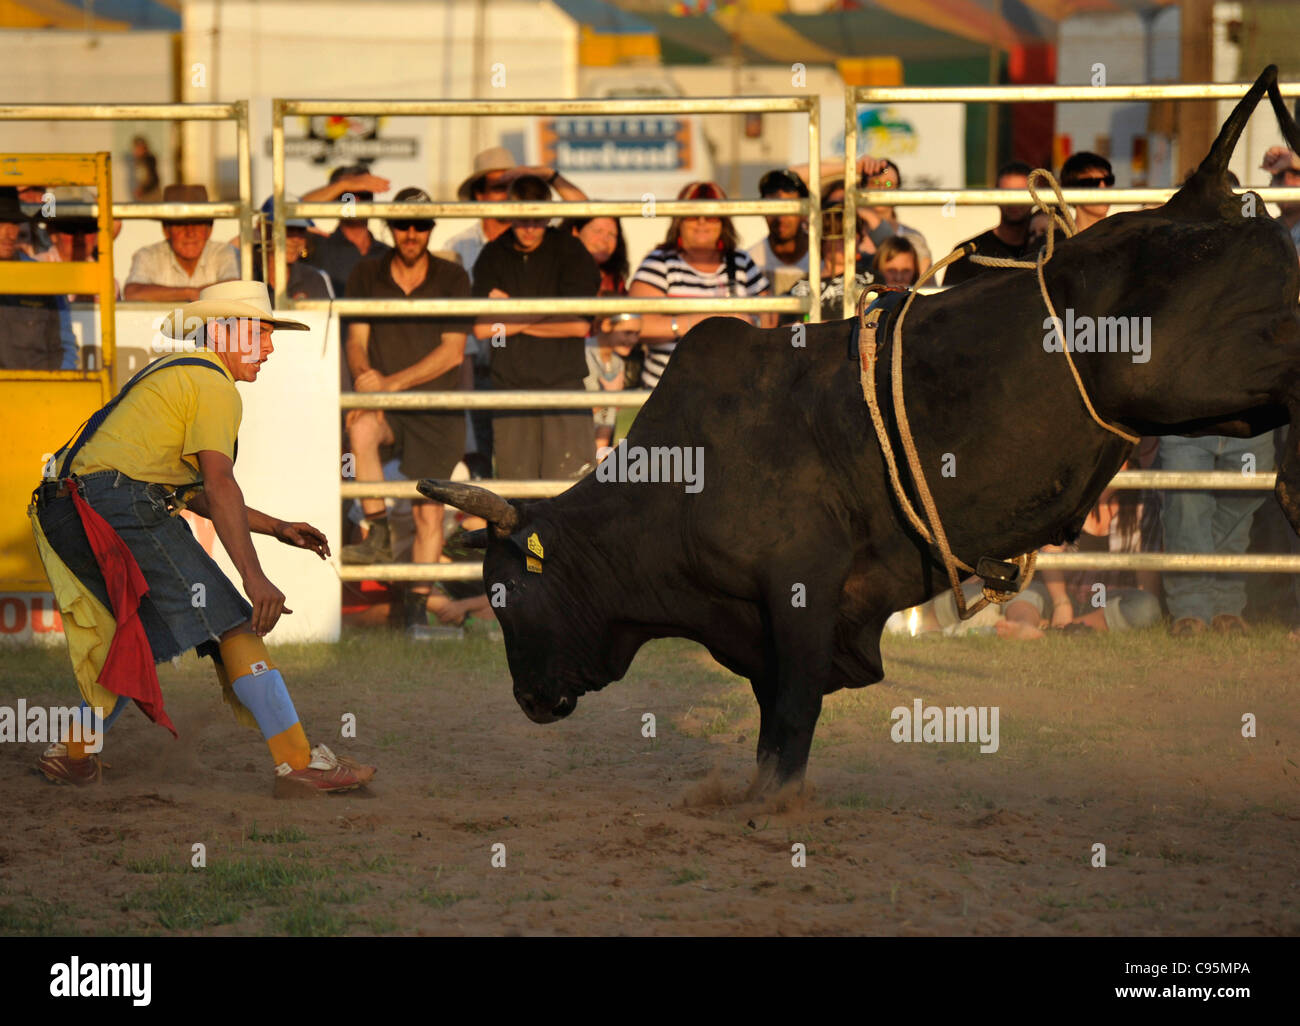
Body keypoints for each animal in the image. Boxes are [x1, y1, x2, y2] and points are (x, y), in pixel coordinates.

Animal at [420, 66, 1300, 789]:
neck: (682, 481)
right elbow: (773, 713)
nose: (529, 700)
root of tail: (1198, 195)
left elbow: (794, 711)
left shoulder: (800, 593)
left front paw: (771, 804)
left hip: (1200, 373)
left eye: (505, 595)